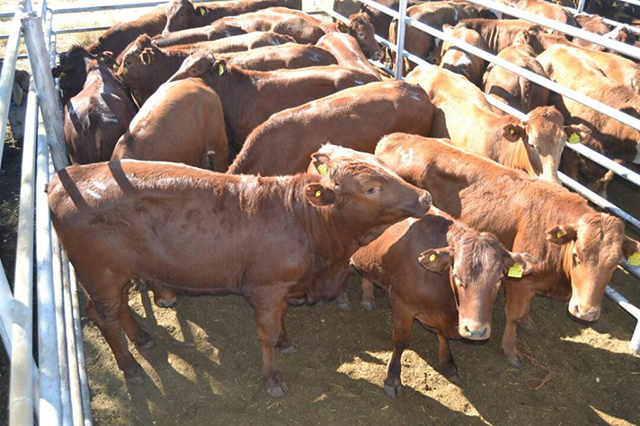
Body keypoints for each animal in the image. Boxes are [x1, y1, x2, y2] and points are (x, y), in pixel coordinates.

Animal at [47, 153, 432, 396]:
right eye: (371, 188)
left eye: (387, 169)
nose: (426, 197)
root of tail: (69, 176)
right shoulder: (267, 287)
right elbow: (266, 333)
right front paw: (272, 378)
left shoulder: (283, 287)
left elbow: (281, 320)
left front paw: (286, 342)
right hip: (101, 273)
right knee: (106, 317)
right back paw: (131, 368)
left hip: (116, 273)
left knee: (115, 309)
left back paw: (142, 337)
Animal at [374, 133, 640, 368]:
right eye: (577, 255)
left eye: (614, 264)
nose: (585, 313)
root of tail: (391, 138)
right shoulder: (517, 282)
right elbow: (512, 315)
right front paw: (511, 350)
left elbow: (526, 308)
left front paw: (528, 322)